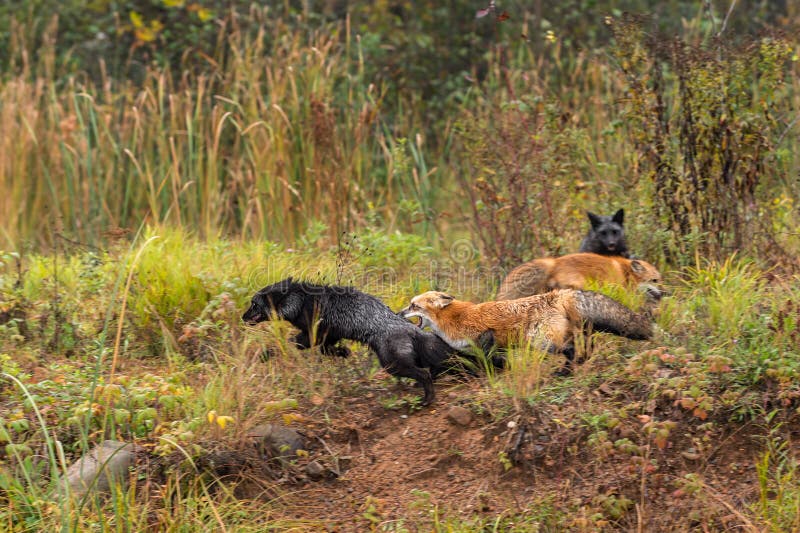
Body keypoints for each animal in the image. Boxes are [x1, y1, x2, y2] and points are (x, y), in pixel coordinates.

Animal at [398, 289, 653, 364]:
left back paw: (566, 370)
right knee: (585, 343)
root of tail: (557, 293)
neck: (452, 319)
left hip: (540, 341)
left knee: (570, 350)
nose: (398, 313)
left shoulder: (486, 335)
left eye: (413, 305)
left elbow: (489, 358)